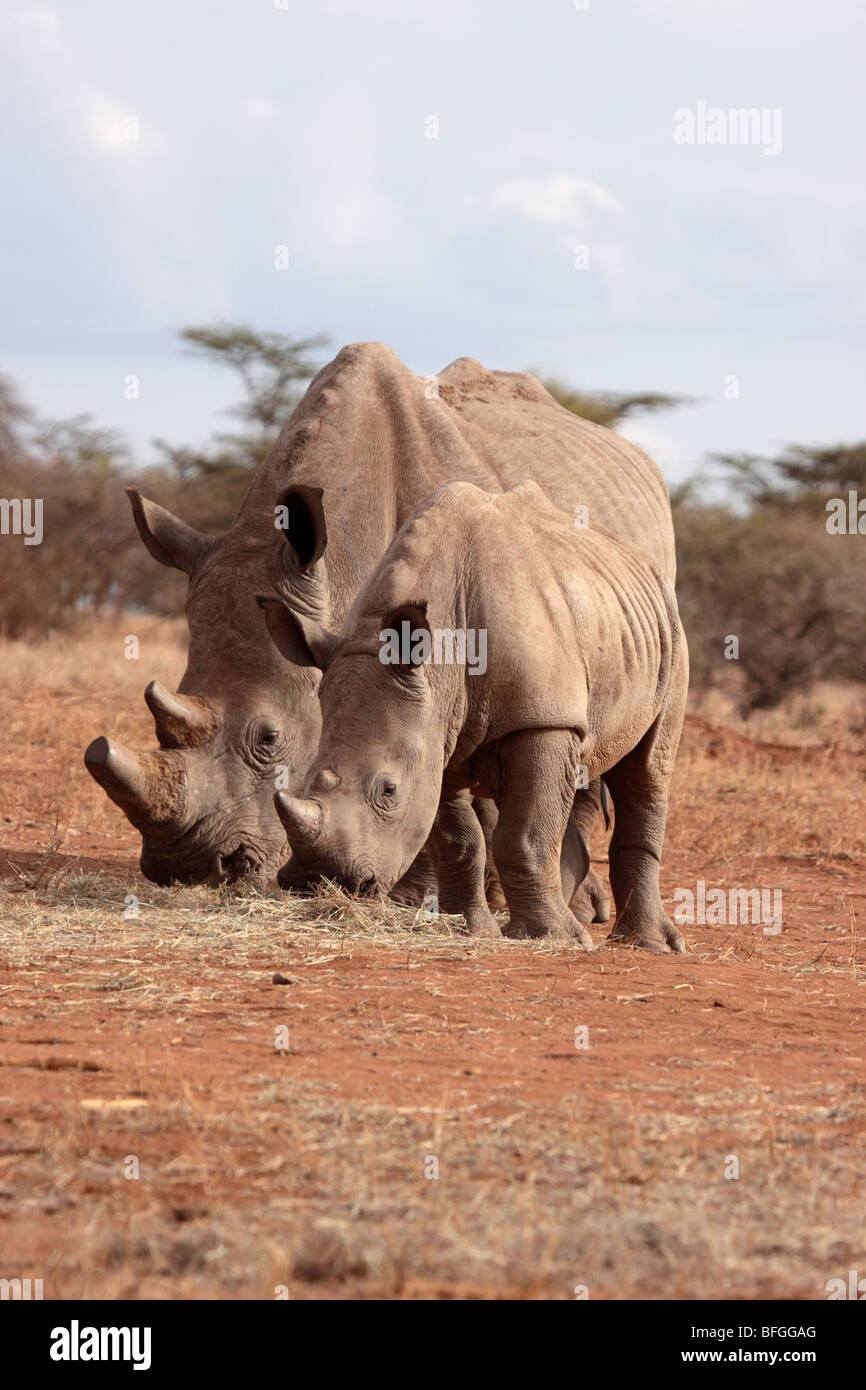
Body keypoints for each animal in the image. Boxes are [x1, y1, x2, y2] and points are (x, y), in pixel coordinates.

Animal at [260, 480, 688, 953]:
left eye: (389, 791)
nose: (318, 881)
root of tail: (641, 559)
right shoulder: (434, 731)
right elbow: (458, 838)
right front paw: (472, 928)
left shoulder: (541, 718)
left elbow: (523, 833)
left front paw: (550, 938)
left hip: (670, 630)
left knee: (646, 769)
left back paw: (649, 944)